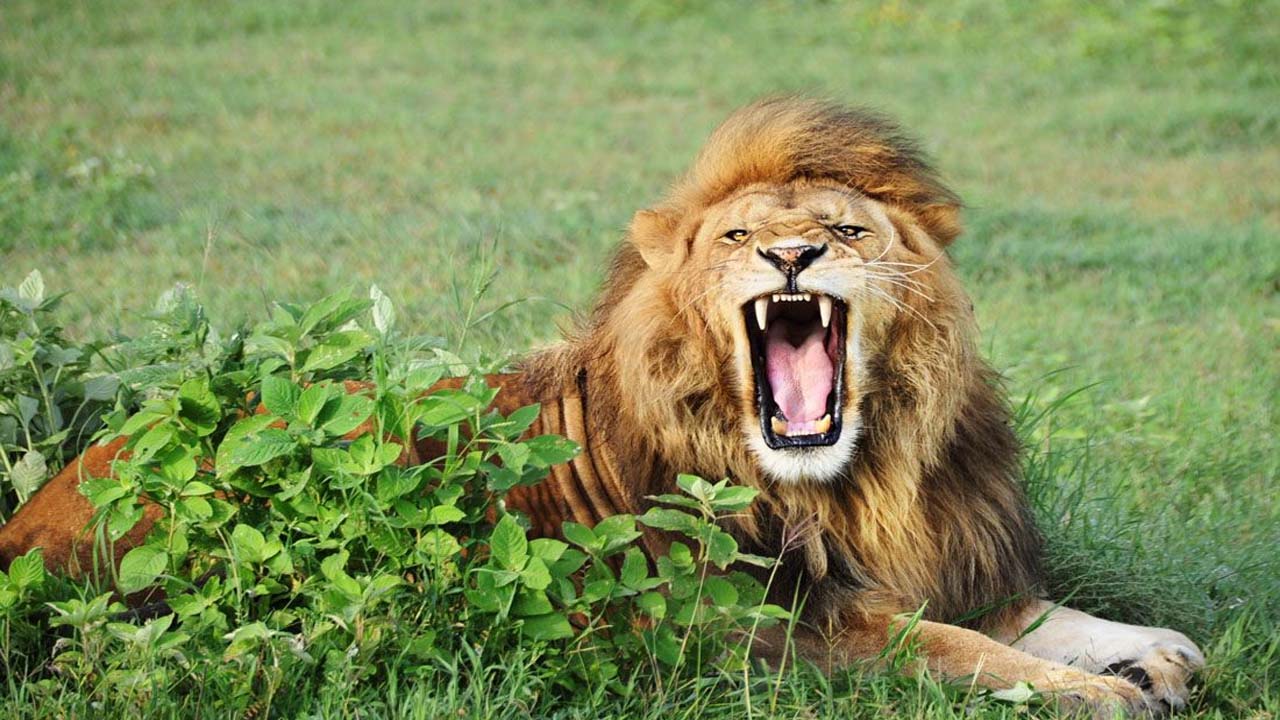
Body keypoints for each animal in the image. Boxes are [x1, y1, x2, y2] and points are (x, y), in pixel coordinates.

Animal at [0, 98, 1202, 716]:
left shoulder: (944, 553)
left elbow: (1028, 613)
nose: (791, 255)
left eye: (844, 229)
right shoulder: (752, 634)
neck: (858, 482)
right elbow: (948, 646)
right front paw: (1099, 693)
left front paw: (1149, 651)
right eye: (737, 235)